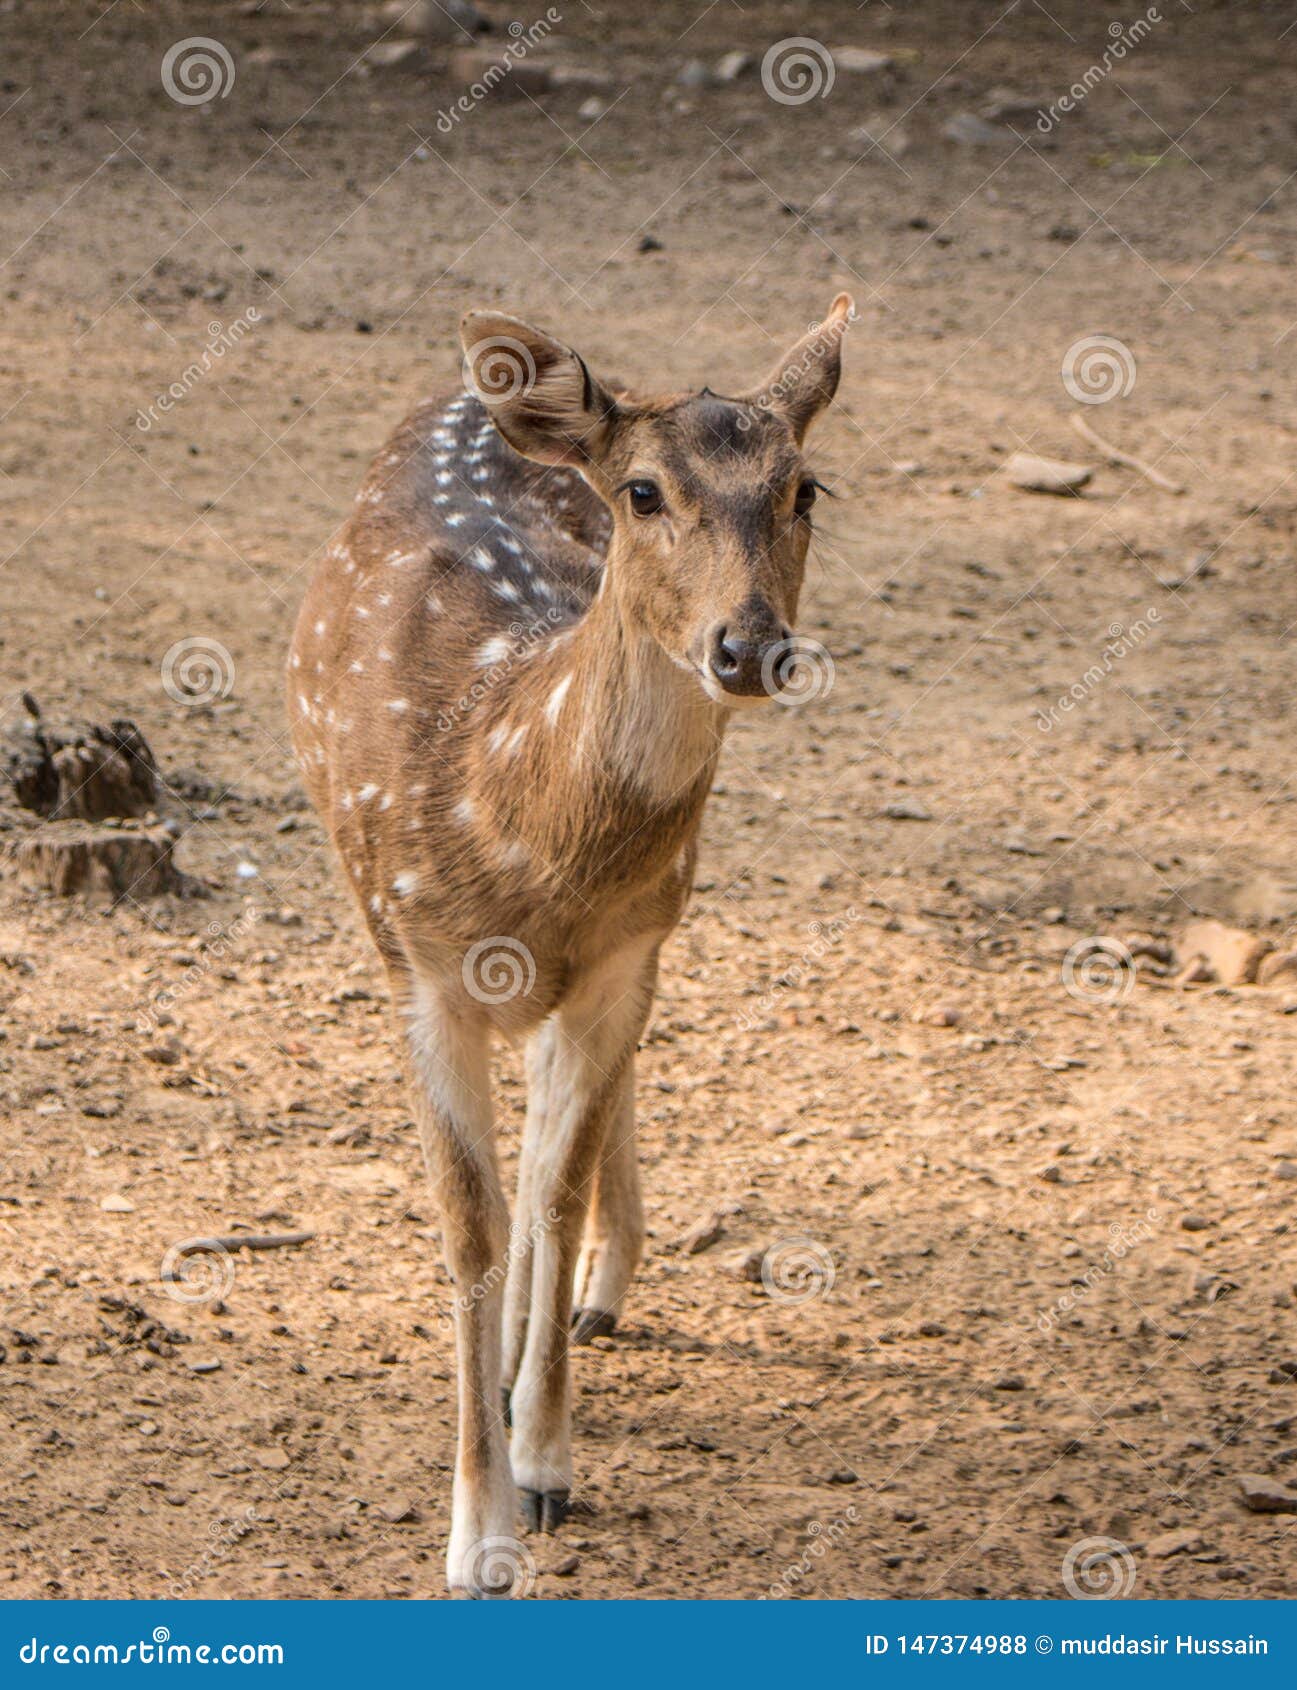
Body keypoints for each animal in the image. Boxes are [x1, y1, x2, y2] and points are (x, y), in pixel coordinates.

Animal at [287, 294, 854, 1596]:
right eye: (642, 491)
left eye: (803, 487)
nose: (749, 646)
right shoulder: (418, 966)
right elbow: (471, 1223)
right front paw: (475, 1532)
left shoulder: (621, 958)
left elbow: (551, 1184)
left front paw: (545, 1464)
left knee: (569, 1131)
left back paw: (591, 1298)